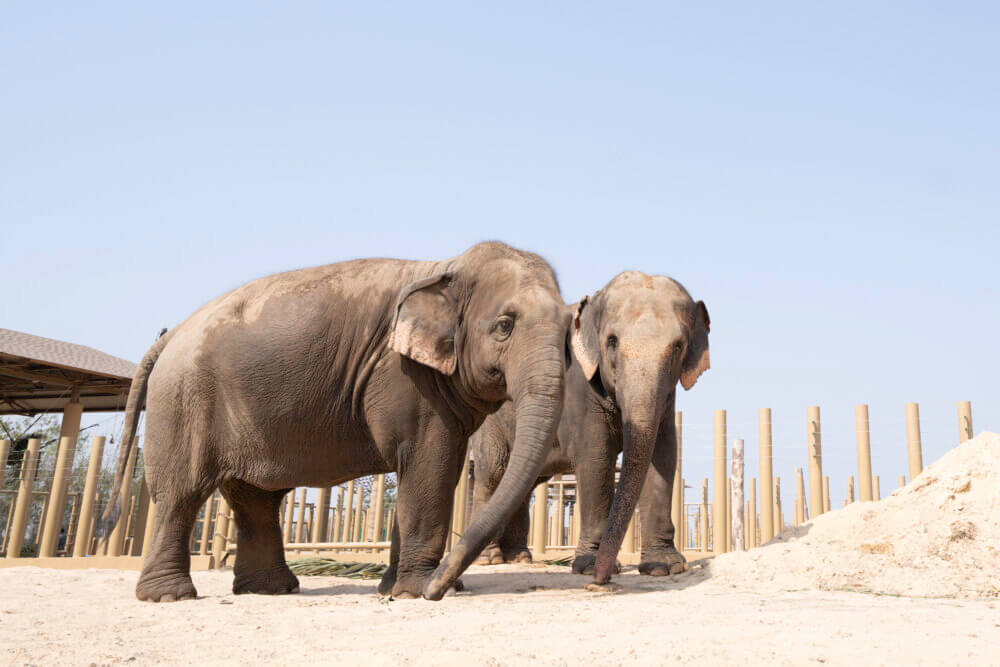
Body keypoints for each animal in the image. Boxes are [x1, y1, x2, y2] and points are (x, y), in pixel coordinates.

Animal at [102, 241, 570, 602]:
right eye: (505, 325)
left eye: (568, 333)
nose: (443, 587)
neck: (445, 266)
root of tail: (170, 334)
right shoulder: (402, 377)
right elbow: (428, 462)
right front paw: (418, 591)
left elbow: (424, 467)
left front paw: (392, 591)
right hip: (184, 401)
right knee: (182, 494)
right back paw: (170, 596)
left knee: (255, 499)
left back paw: (270, 590)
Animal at [469, 271, 709, 583]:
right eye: (612, 342)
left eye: (678, 345)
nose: (600, 582)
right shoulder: (578, 386)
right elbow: (597, 458)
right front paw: (587, 566)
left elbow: (664, 455)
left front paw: (664, 567)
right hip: (491, 420)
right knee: (493, 473)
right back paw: (490, 559)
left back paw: (518, 557)